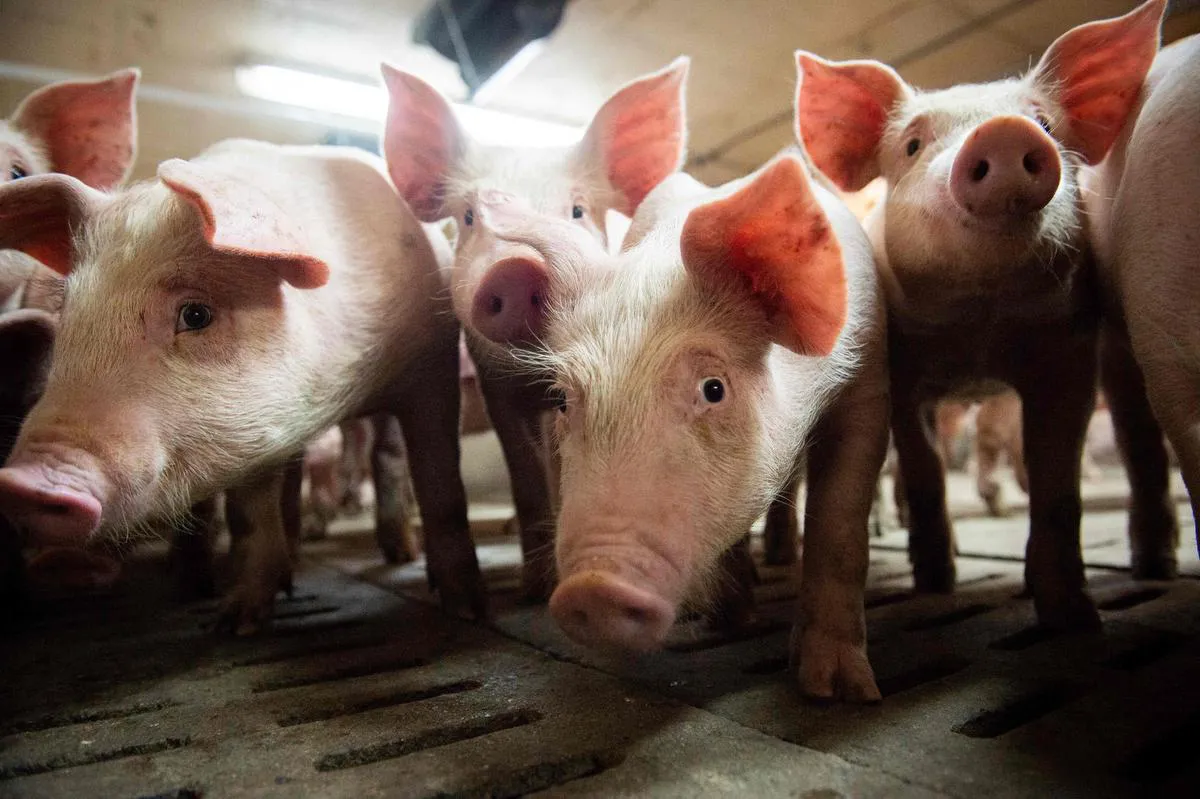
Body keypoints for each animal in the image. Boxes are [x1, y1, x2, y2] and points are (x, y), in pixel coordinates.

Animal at [0, 138, 485, 632]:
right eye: (67, 310)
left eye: (196, 314)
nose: (24, 483)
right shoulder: (255, 428)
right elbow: (249, 513)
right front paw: (234, 623)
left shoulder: (431, 362)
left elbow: (439, 478)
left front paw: (465, 610)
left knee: (386, 453)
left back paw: (397, 552)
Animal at [494, 154, 888, 701]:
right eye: (560, 399)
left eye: (713, 388)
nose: (592, 589)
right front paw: (732, 621)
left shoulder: (868, 381)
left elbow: (841, 529)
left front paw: (838, 693)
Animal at [795, 0, 1172, 629]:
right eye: (912, 145)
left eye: (1045, 124)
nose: (1001, 132)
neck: (977, 325)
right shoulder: (903, 372)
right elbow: (925, 472)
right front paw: (935, 584)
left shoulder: (1067, 352)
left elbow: (1056, 482)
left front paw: (1074, 618)